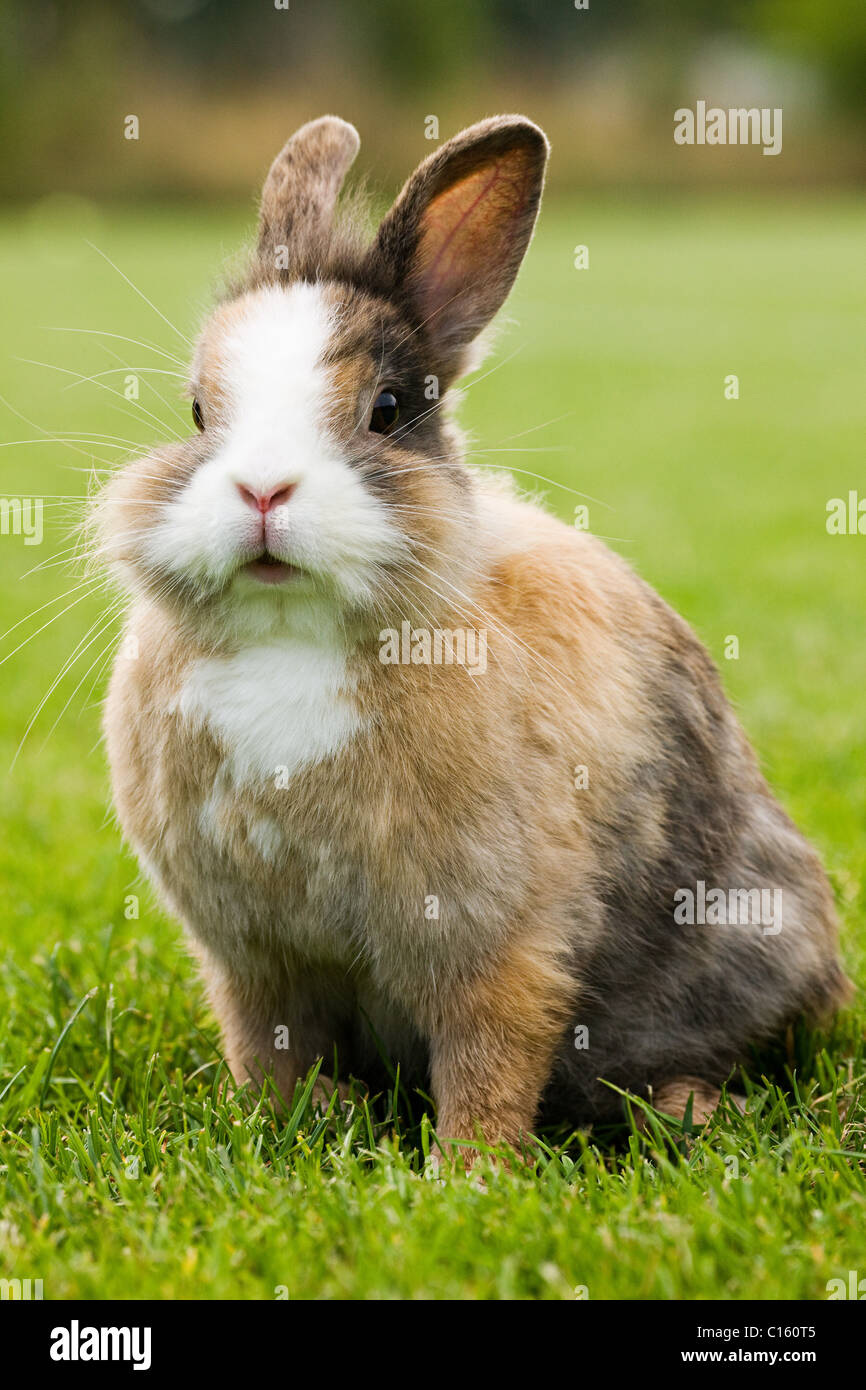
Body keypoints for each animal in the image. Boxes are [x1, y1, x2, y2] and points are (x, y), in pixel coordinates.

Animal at [97, 114, 852, 1159]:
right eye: (199, 411)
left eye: (387, 410)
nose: (262, 490)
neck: (293, 635)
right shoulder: (254, 958)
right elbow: (271, 1051)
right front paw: (287, 1132)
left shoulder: (499, 943)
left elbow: (487, 1059)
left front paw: (471, 1170)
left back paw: (687, 1110)